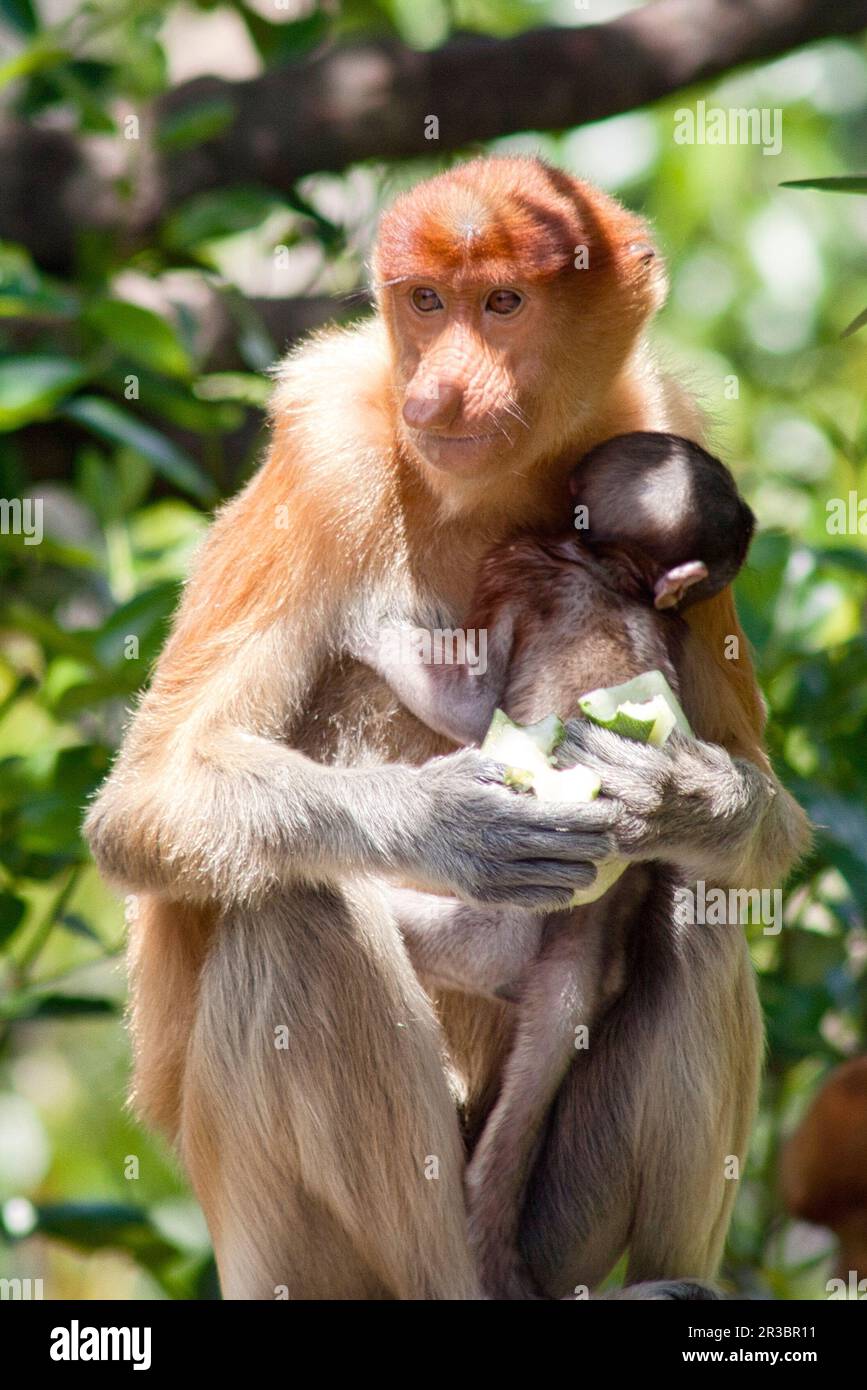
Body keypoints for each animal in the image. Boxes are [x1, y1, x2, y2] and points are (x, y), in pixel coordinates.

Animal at [352, 432, 757, 1297]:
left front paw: (373, 635)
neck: (615, 576)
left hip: (496, 930)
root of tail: (584, 947)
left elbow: (468, 700)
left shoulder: (519, 566)